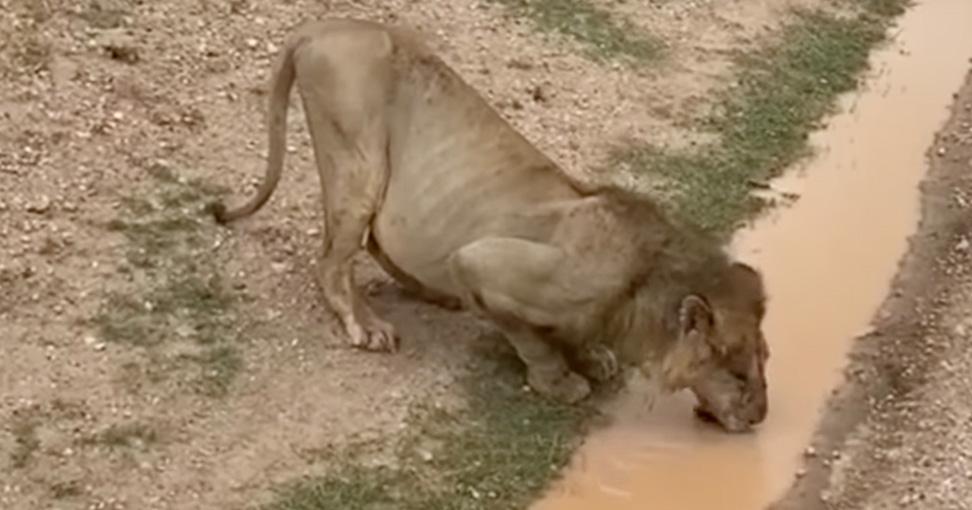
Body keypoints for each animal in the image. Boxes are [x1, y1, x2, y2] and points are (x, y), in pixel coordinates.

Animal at [208, 18, 770, 432]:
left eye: (763, 357)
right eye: (739, 371)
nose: (762, 416)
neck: (644, 287)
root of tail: (321, 26)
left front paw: (593, 357)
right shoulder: (488, 265)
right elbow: (533, 340)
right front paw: (562, 382)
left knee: (377, 240)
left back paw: (433, 293)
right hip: (354, 153)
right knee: (332, 261)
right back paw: (368, 325)